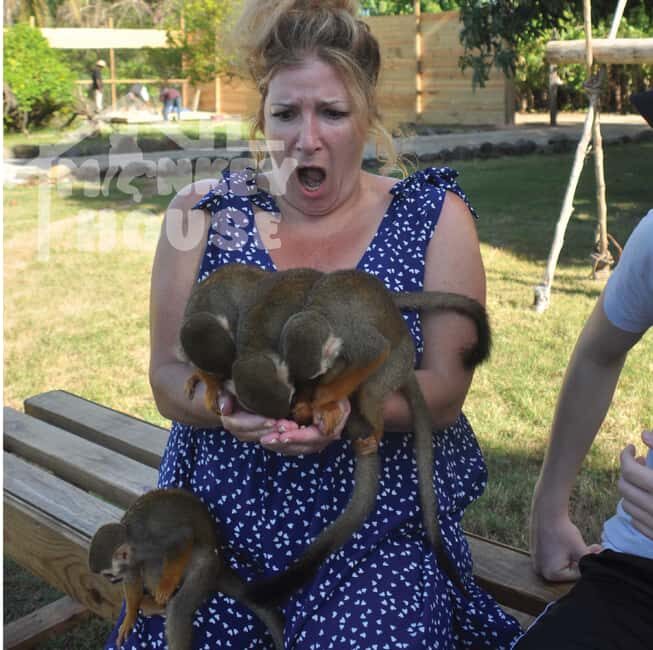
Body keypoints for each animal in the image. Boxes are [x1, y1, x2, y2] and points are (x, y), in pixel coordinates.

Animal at [89, 488, 284, 650]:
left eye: (108, 574)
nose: (111, 581)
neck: (130, 542)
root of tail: (219, 568)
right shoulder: (131, 560)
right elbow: (132, 577)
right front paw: (130, 616)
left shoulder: (147, 543)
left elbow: (183, 538)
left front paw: (166, 586)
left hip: (205, 570)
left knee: (175, 598)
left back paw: (161, 605)